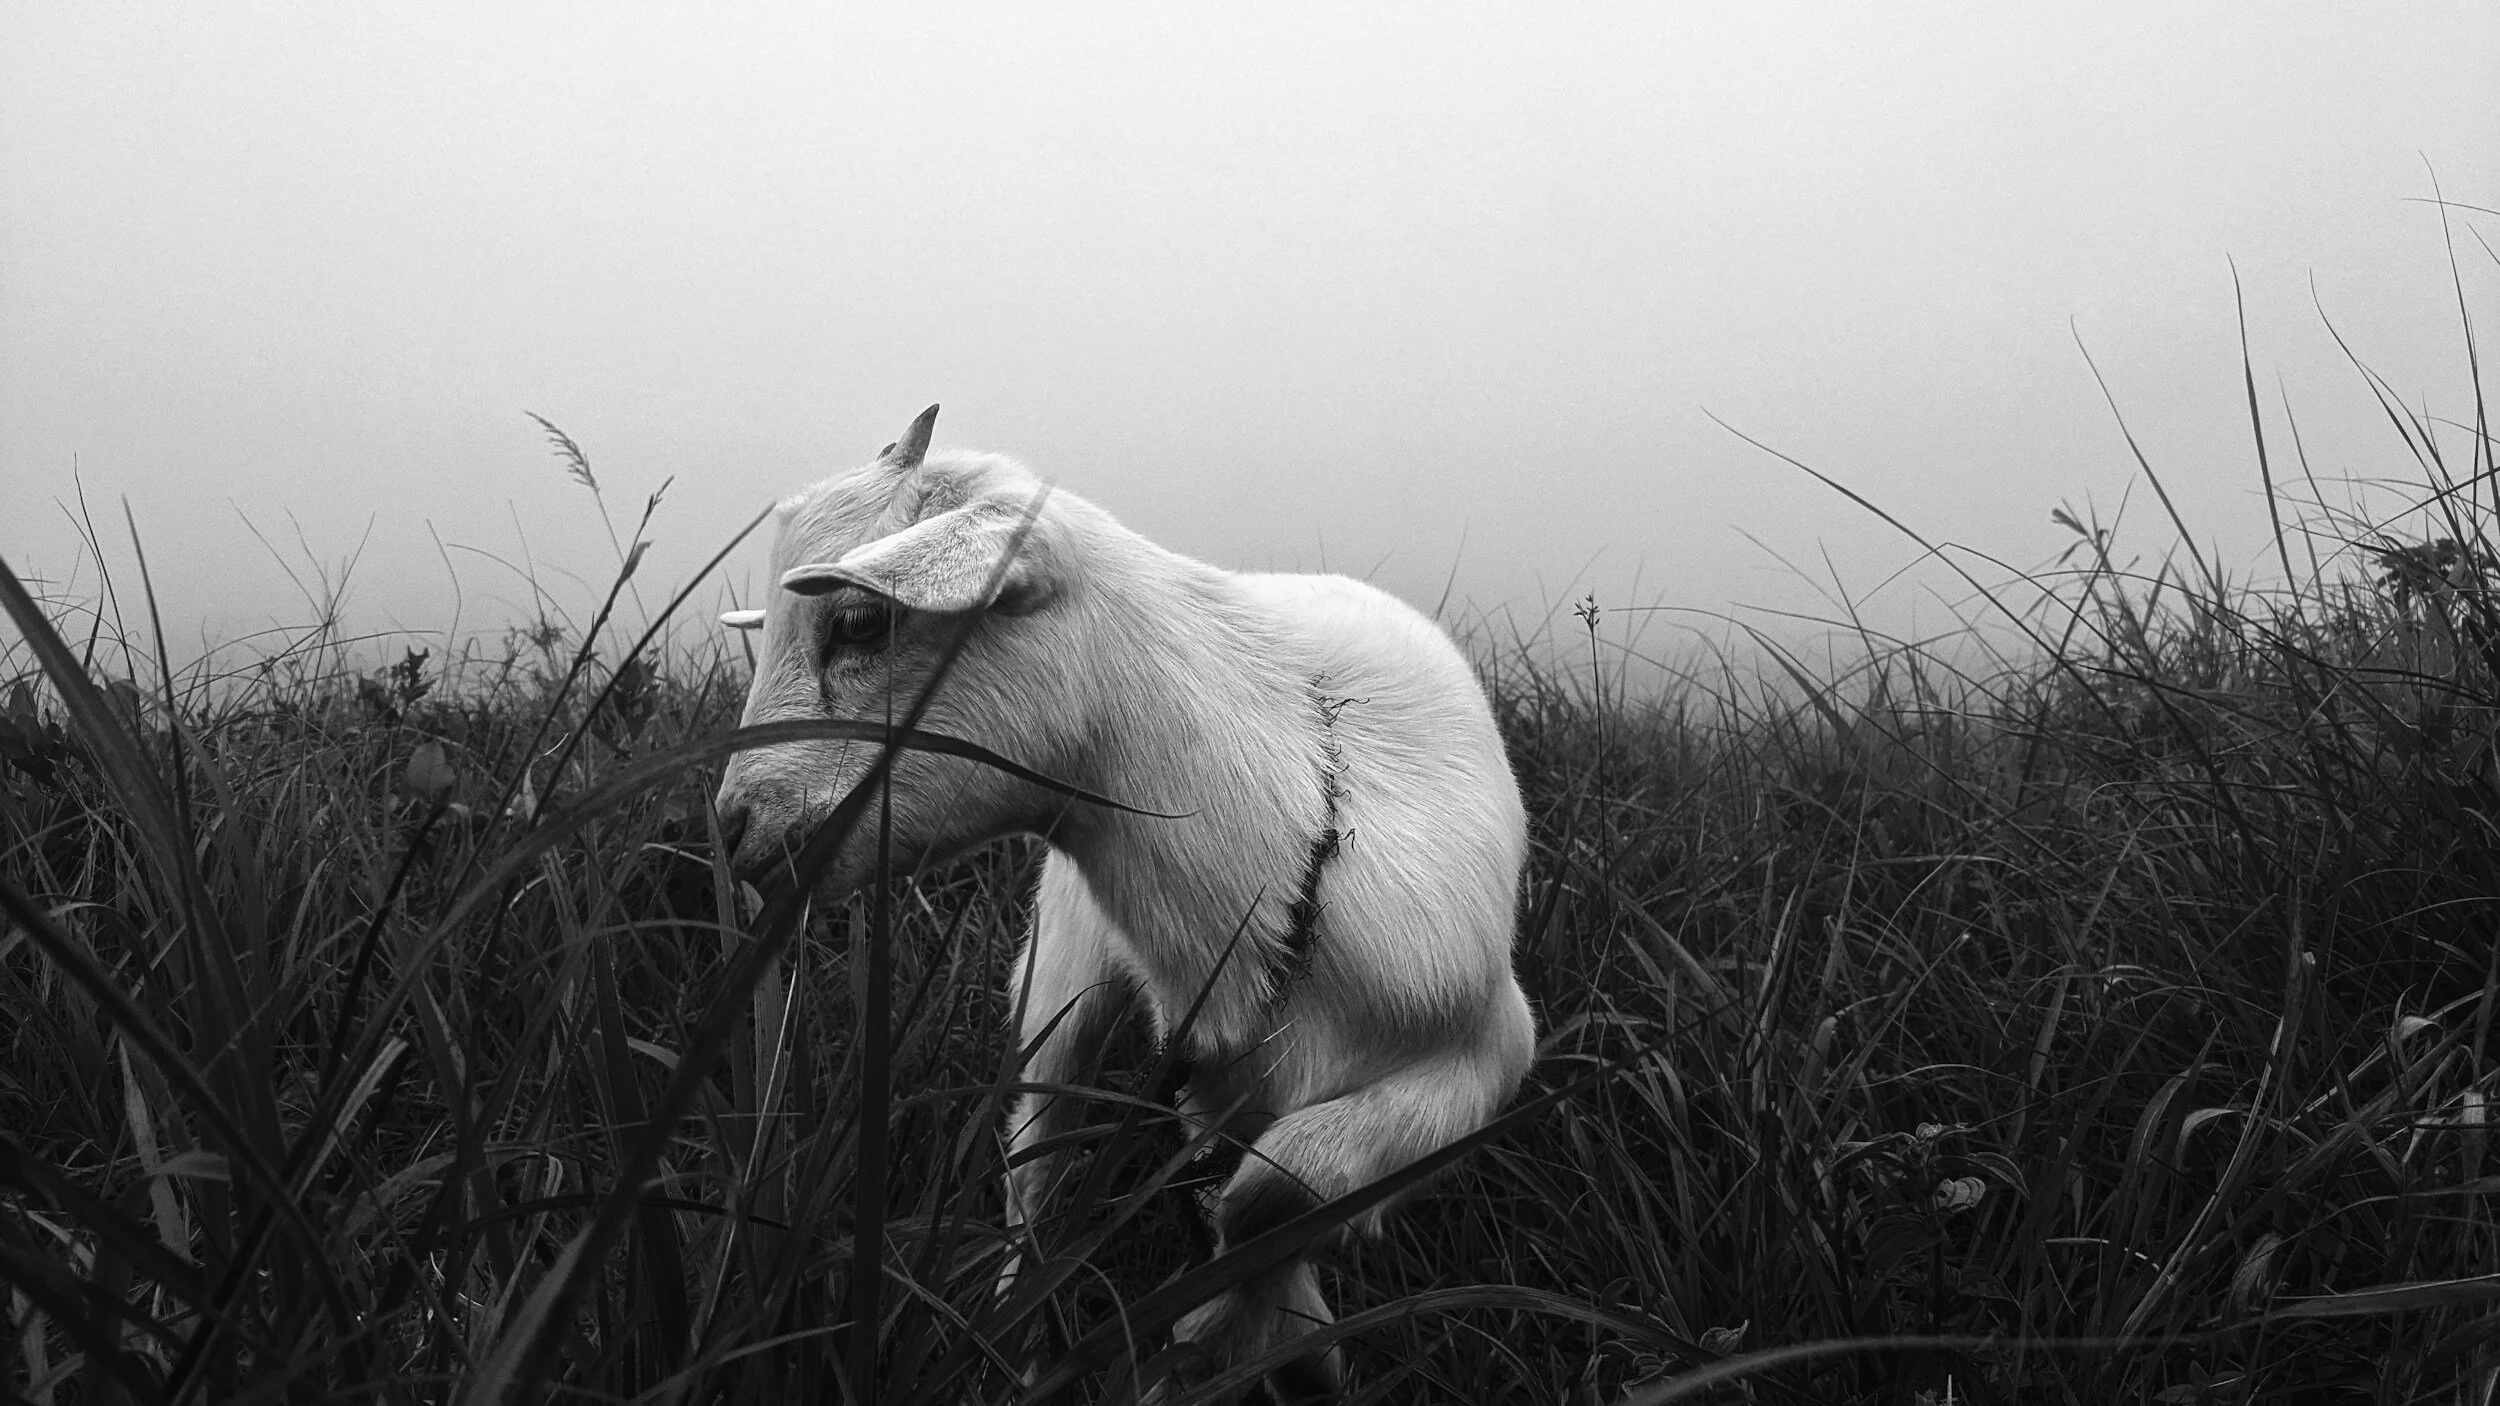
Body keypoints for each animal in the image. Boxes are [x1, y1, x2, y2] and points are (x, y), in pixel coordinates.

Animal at [714, 406, 1535, 1402]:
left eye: (862, 621)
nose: (733, 825)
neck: (1308, 831)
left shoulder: (1484, 1050)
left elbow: (1274, 1193)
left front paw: (1260, 1338)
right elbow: (1254, 1202)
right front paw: (1245, 1340)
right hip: (1062, 970)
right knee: (1037, 1163)